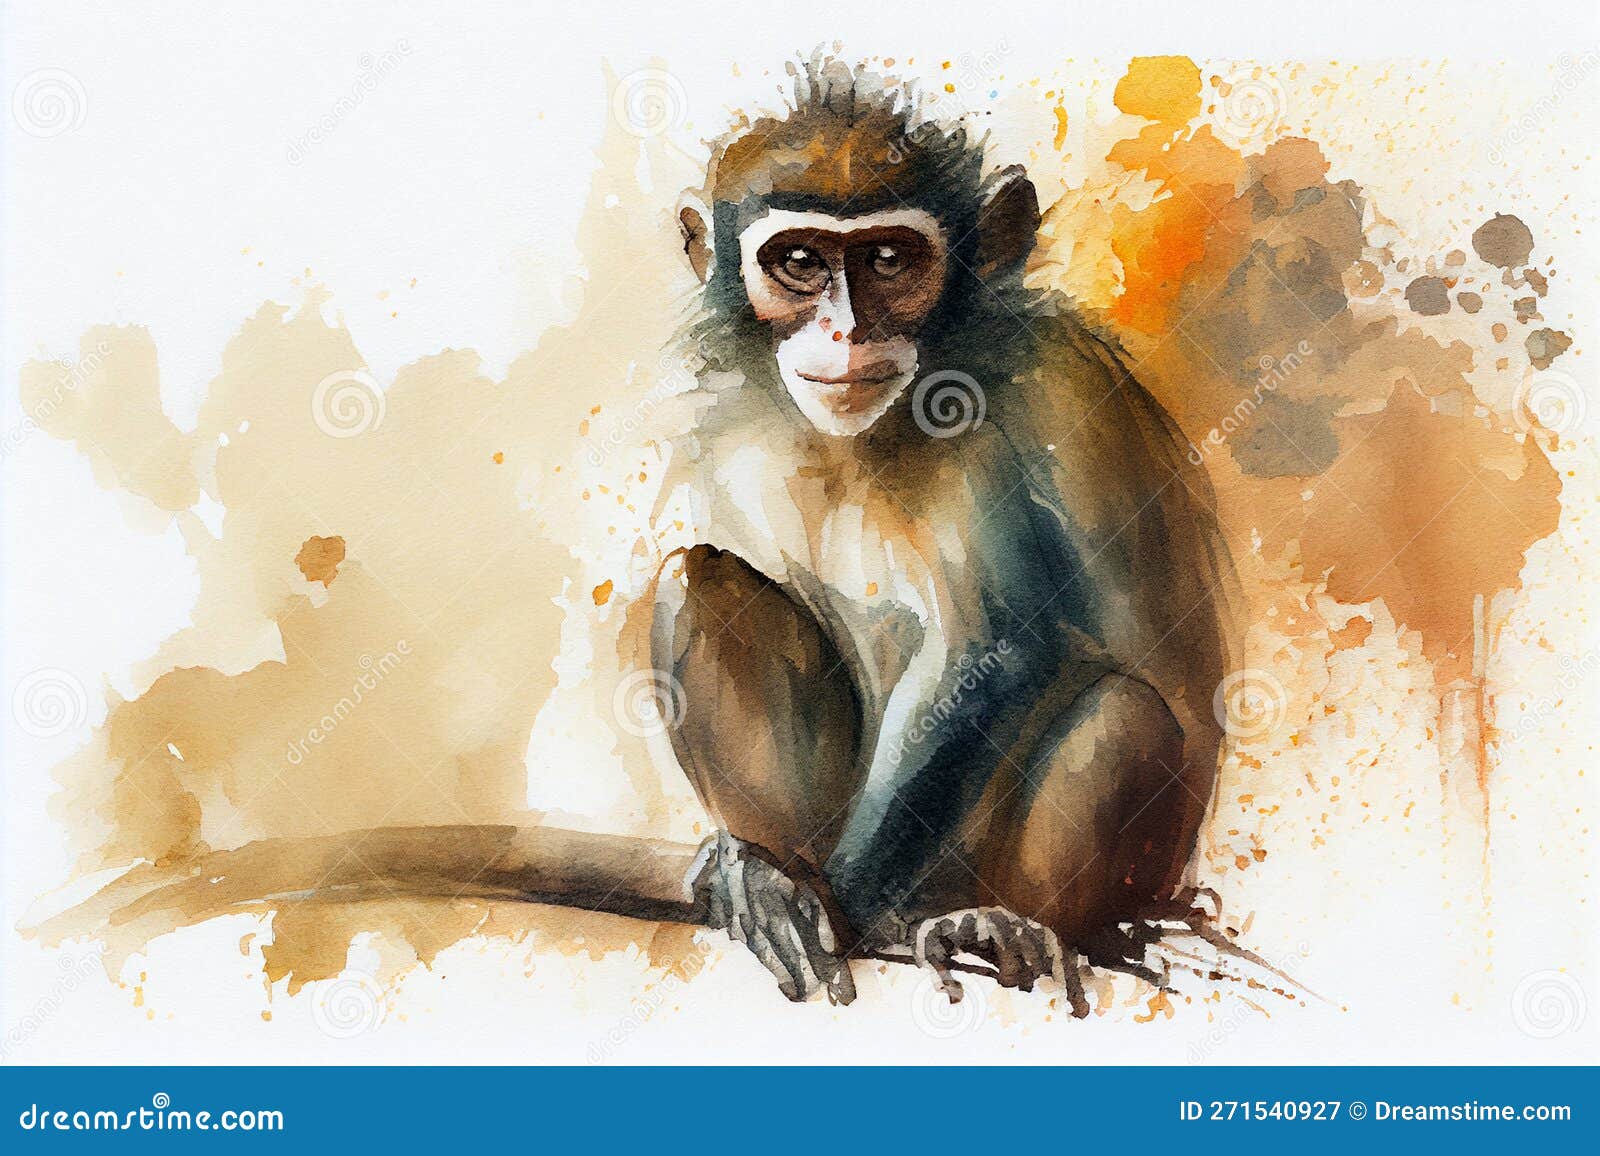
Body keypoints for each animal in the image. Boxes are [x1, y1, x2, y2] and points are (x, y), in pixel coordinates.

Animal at [645, 58, 1235, 1005]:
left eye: (889, 259)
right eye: (799, 263)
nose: (846, 330)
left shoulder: (1014, 405)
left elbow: (996, 649)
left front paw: (852, 910)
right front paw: (779, 886)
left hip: (1120, 867)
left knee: (1123, 714)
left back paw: (1003, 922)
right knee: (698, 580)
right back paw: (771, 870)